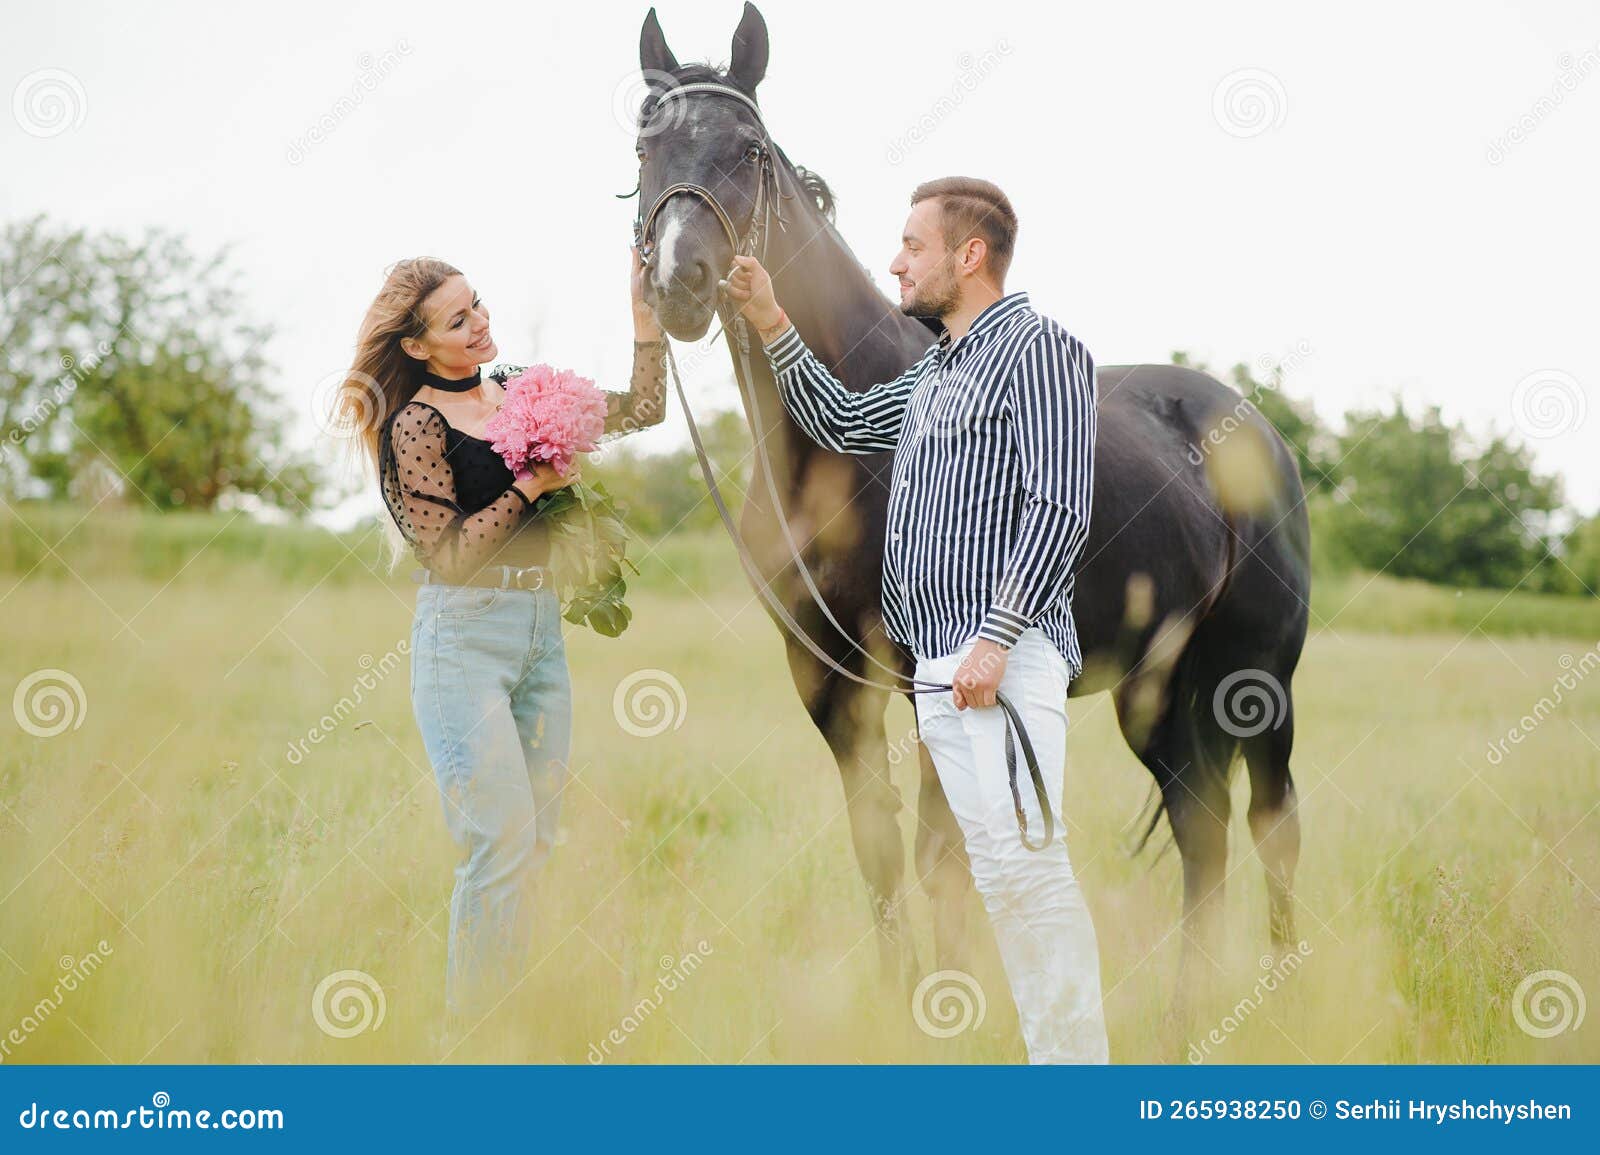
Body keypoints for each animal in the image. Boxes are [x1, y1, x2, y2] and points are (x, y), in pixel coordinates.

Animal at [629, 2, 1310, 1003]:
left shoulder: (937, 674)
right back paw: (1192, 1006)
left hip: (1252, 681)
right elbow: (877, 847)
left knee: (1272, 826)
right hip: (1159, 691)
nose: (681, 280)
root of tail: (1259, 436)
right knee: (1204, 829)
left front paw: (948, 1000)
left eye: (748, 149)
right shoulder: (827, 681)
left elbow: (942, 854)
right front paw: (896, 999)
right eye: (646, 147)